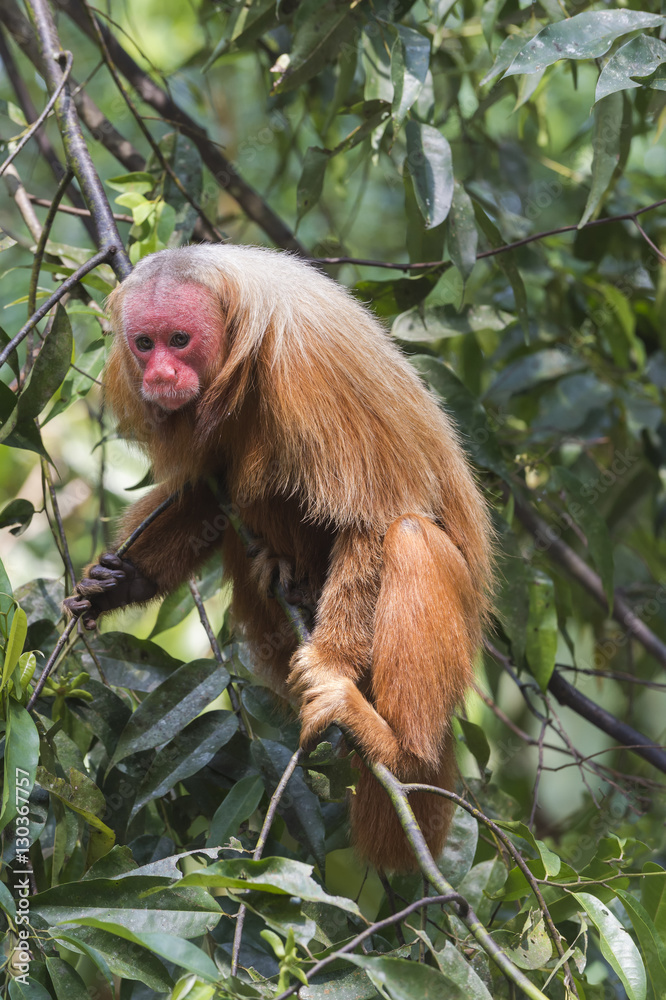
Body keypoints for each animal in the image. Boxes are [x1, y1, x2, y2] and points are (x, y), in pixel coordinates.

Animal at [63, 244, 492, 872]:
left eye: (179, 340)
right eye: (144, 344)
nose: (161, 375)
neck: (244, 343)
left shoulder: (308, 364)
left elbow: (372, 517)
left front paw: (330, 669)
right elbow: (205, 490)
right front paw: (122, 581)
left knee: (410, 534)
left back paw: (398, 749)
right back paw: (286, 575)